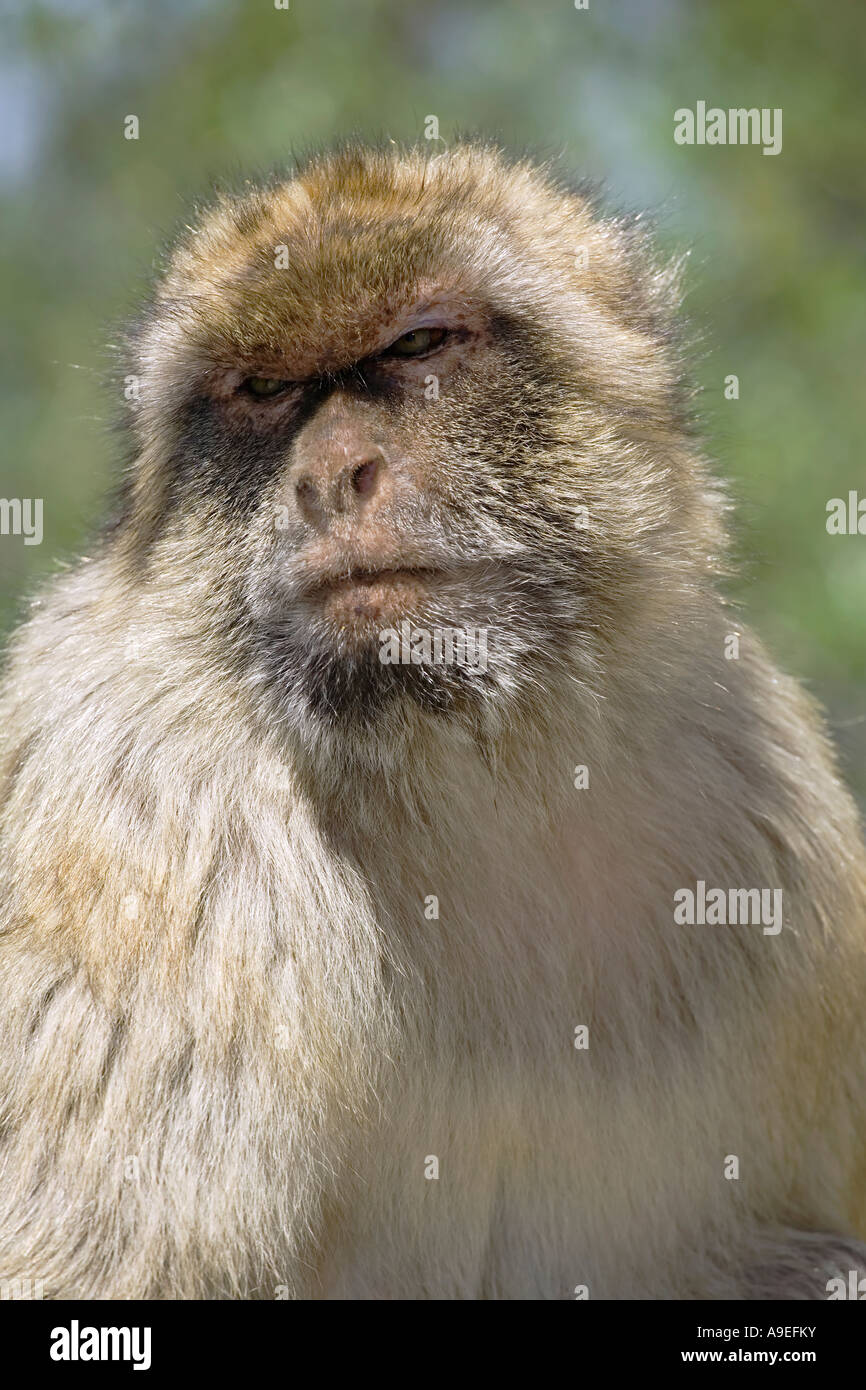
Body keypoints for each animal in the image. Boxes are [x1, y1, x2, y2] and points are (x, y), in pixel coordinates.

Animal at [0, 140, 864, 1301]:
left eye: (415, 344)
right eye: (265, 389)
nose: (330, 476)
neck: (464, 761)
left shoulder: (765, 803)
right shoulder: (138, 818)